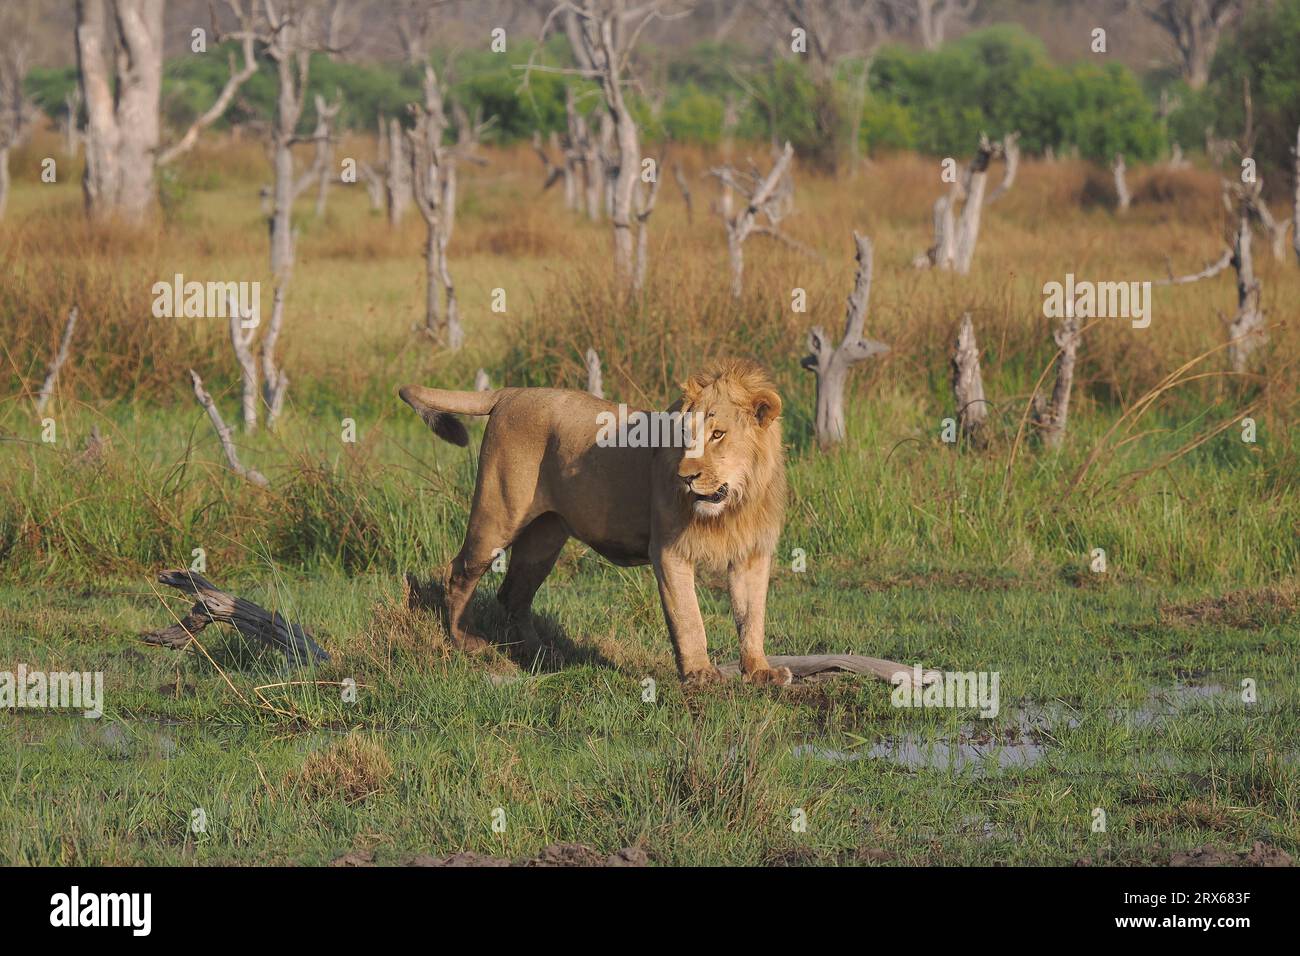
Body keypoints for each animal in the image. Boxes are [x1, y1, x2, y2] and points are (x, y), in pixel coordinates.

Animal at [398, 357, 792, 685]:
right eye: (684, 436)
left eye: (718, 434)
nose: (685, 477)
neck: (735, 504)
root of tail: (511, 392)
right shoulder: (669, 550)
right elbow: (689, 617)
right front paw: (700, 673)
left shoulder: (752, 554)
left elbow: (751, 616)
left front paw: (761, 671)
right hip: (498, 513)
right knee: (459, 572)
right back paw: (465, 642)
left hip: (543, 537)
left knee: (513, 594)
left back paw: (542, 655)